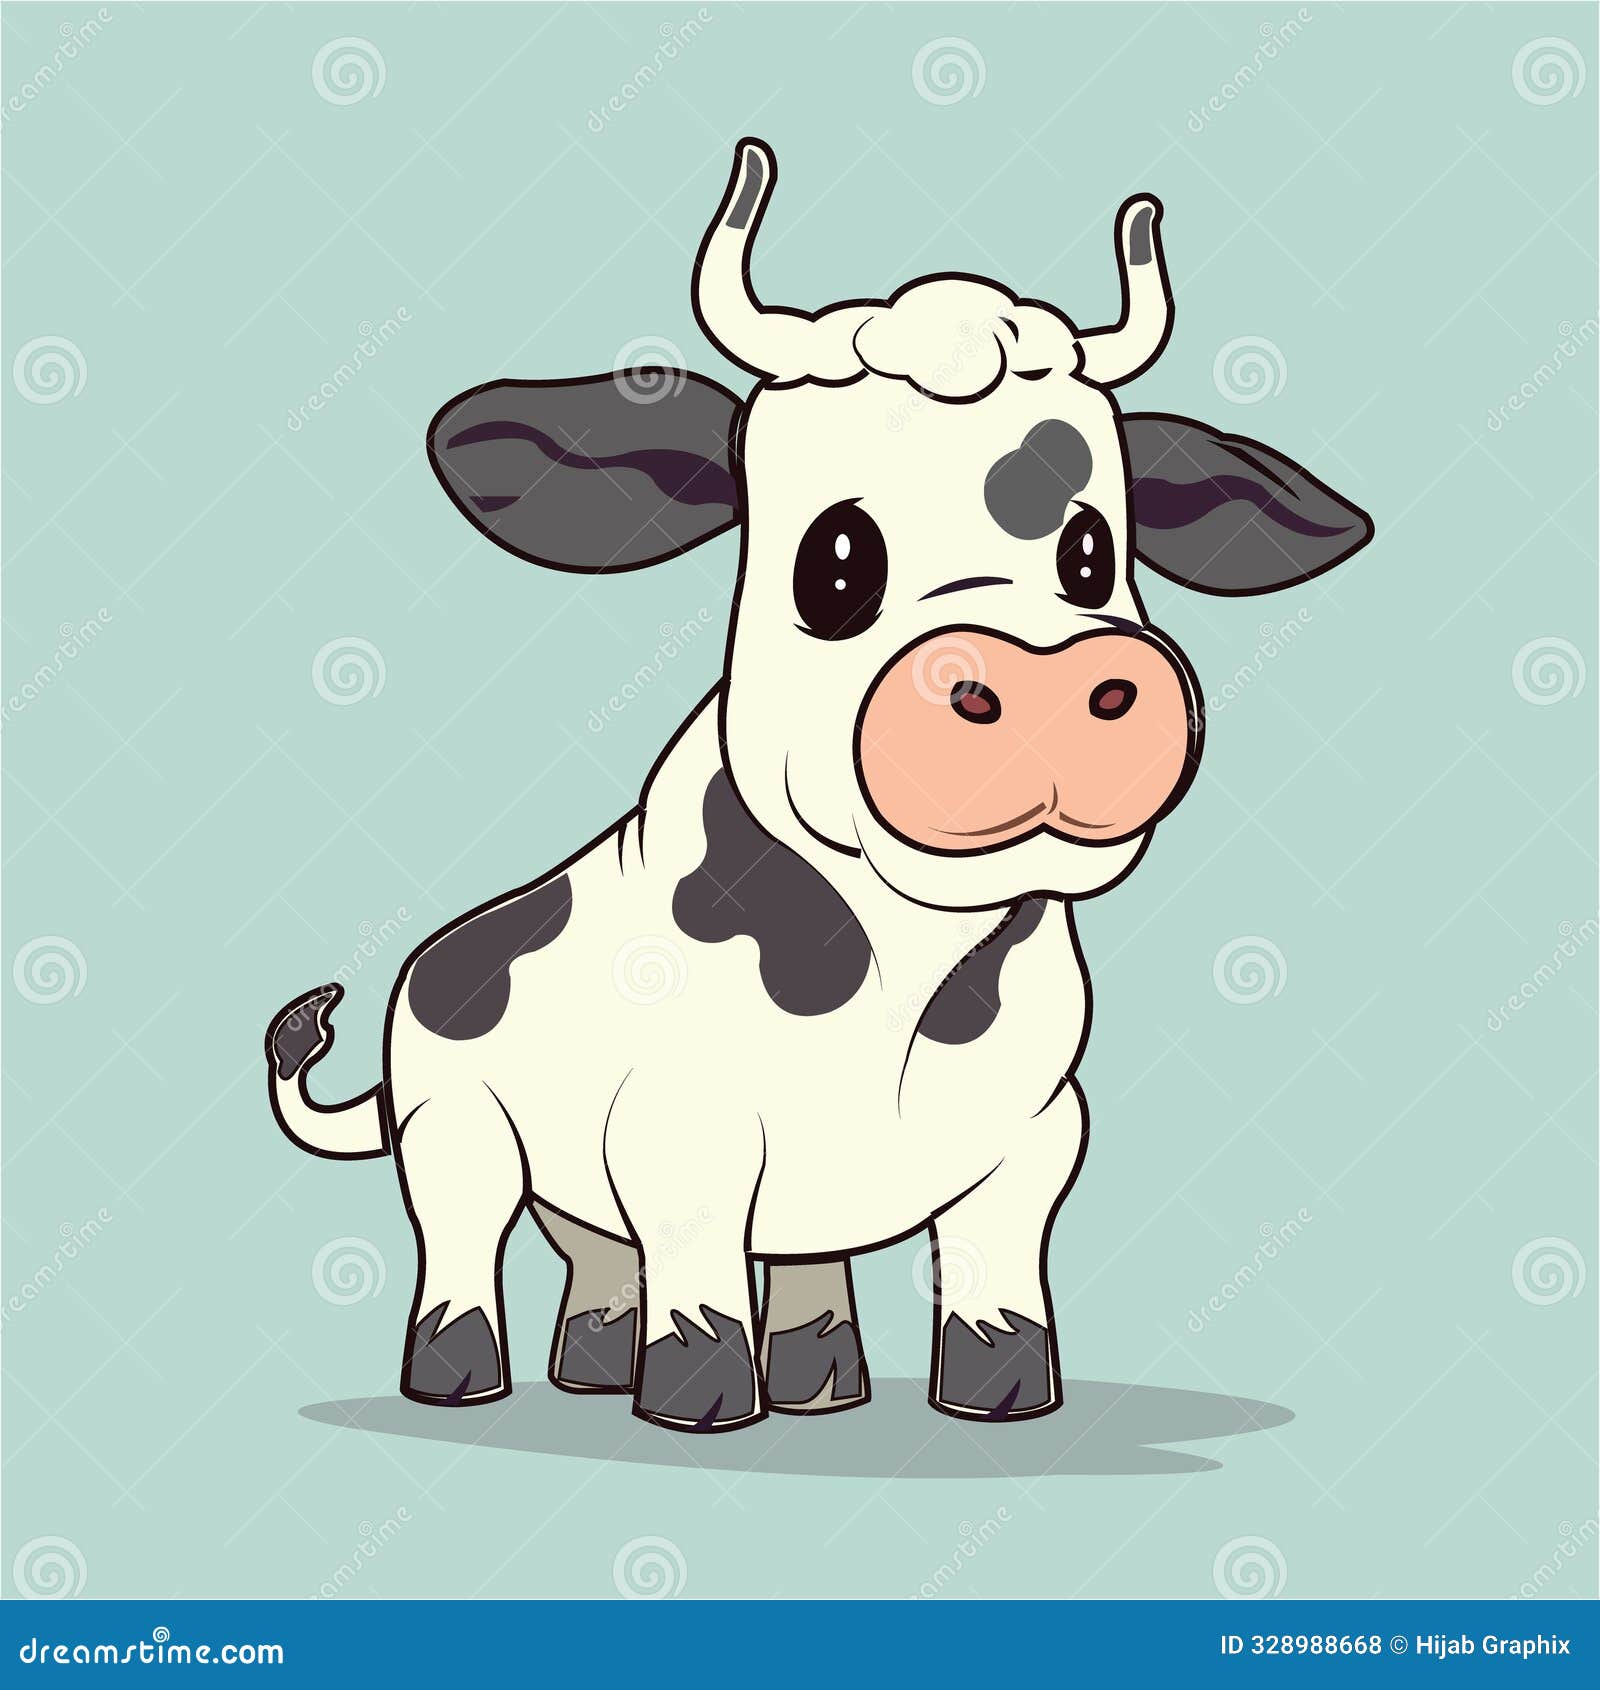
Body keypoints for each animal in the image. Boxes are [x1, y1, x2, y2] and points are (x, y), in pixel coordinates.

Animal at [265, 139, 1372, 1432]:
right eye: (836, 561)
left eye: (1093, 552)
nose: (1044, 671)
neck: (902, 980)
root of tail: (429, 964)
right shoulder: (678, 1125)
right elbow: (697, 1263)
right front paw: (698, 1406)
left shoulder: (1040, 1123)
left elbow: (996, 1267)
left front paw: (996, 1399)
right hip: (455, 1128)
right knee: (463, 1244)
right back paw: (464, 1379)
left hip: (568, 1184)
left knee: (613, 1256)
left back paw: (722, 1378)